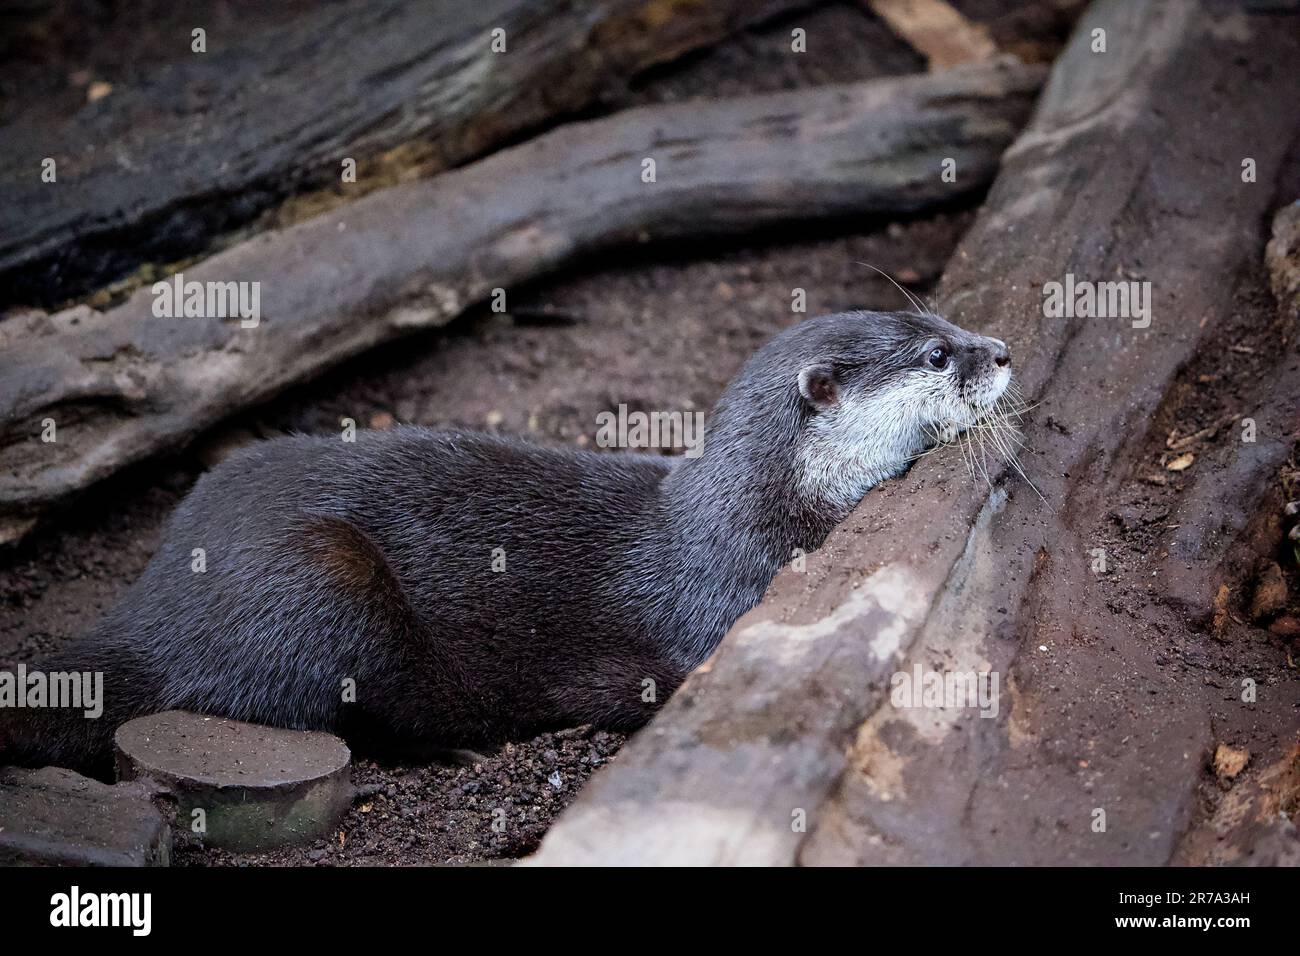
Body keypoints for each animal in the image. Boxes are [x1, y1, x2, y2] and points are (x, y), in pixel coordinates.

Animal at [1, 310, 1011, 774]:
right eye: (935, 356)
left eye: (945, 319)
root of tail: (152, 609)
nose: (1001, 350)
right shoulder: (720, 605)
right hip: (318, 576)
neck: (743, 517)